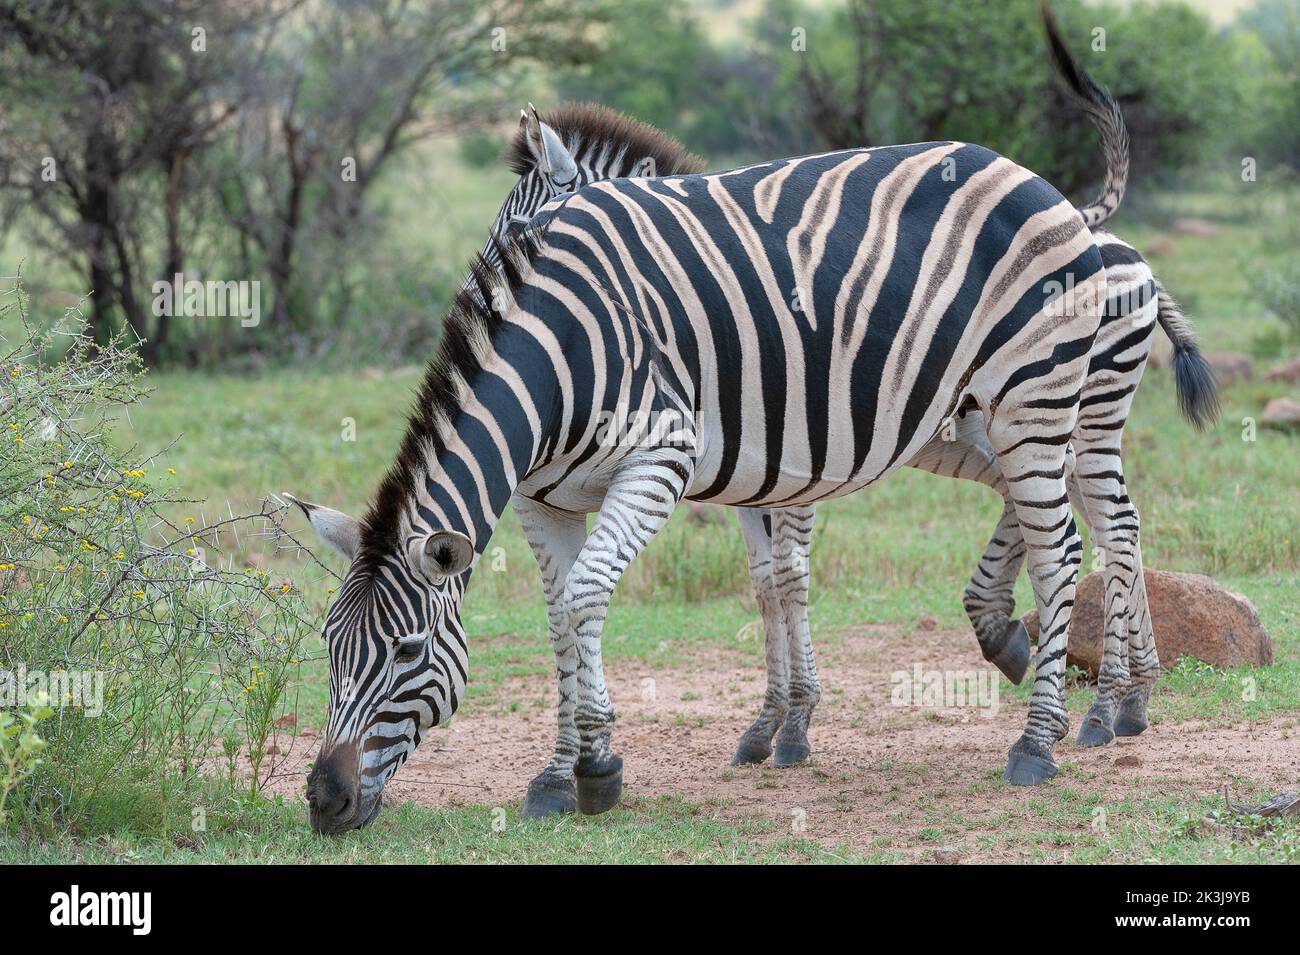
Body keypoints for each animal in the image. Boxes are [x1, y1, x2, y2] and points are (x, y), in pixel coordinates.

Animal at [294, 111, 1119, 834]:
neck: (561, 356)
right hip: (985, 415)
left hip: (1035, 395)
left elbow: (596, 597)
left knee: (1066, 549)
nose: (325, 802)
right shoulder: (543, 497)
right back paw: (1040, 664)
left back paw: (1043, 739)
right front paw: (558, 775)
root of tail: (1030, 176)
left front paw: (598, 765)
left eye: (407, 652)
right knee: (1062, 523)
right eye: (328, 645)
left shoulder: (669, 461)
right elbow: (562, 616)